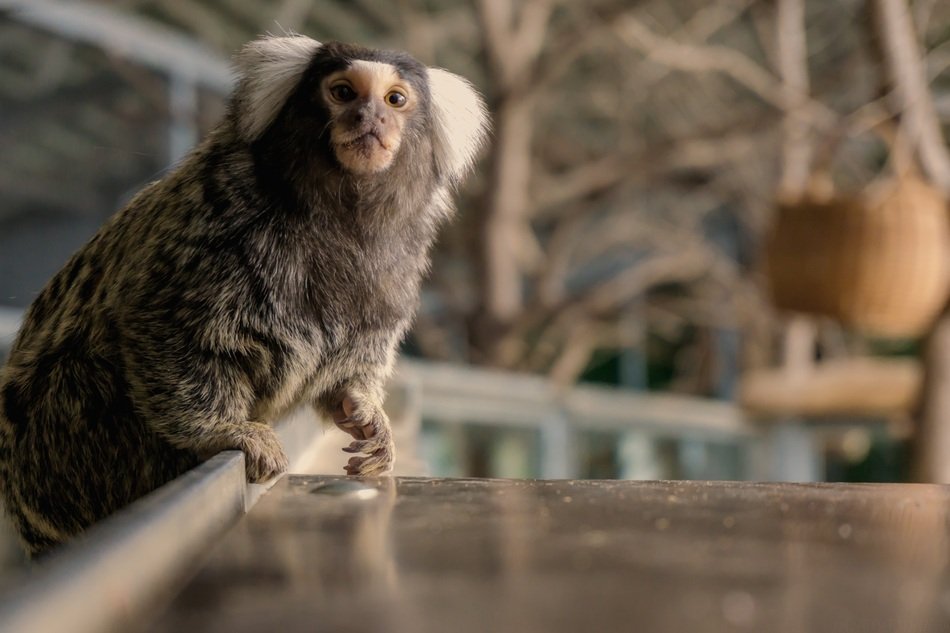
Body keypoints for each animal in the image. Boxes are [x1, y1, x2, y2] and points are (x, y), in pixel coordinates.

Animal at [0, 35, 489, 556]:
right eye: (342, 92)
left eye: (395, 100)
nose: (370, 118)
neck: (340, 217)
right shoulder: (217, 218)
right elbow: (165, 325)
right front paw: (225, 431)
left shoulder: (399, 264)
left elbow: (350, 369)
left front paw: (364, 413)